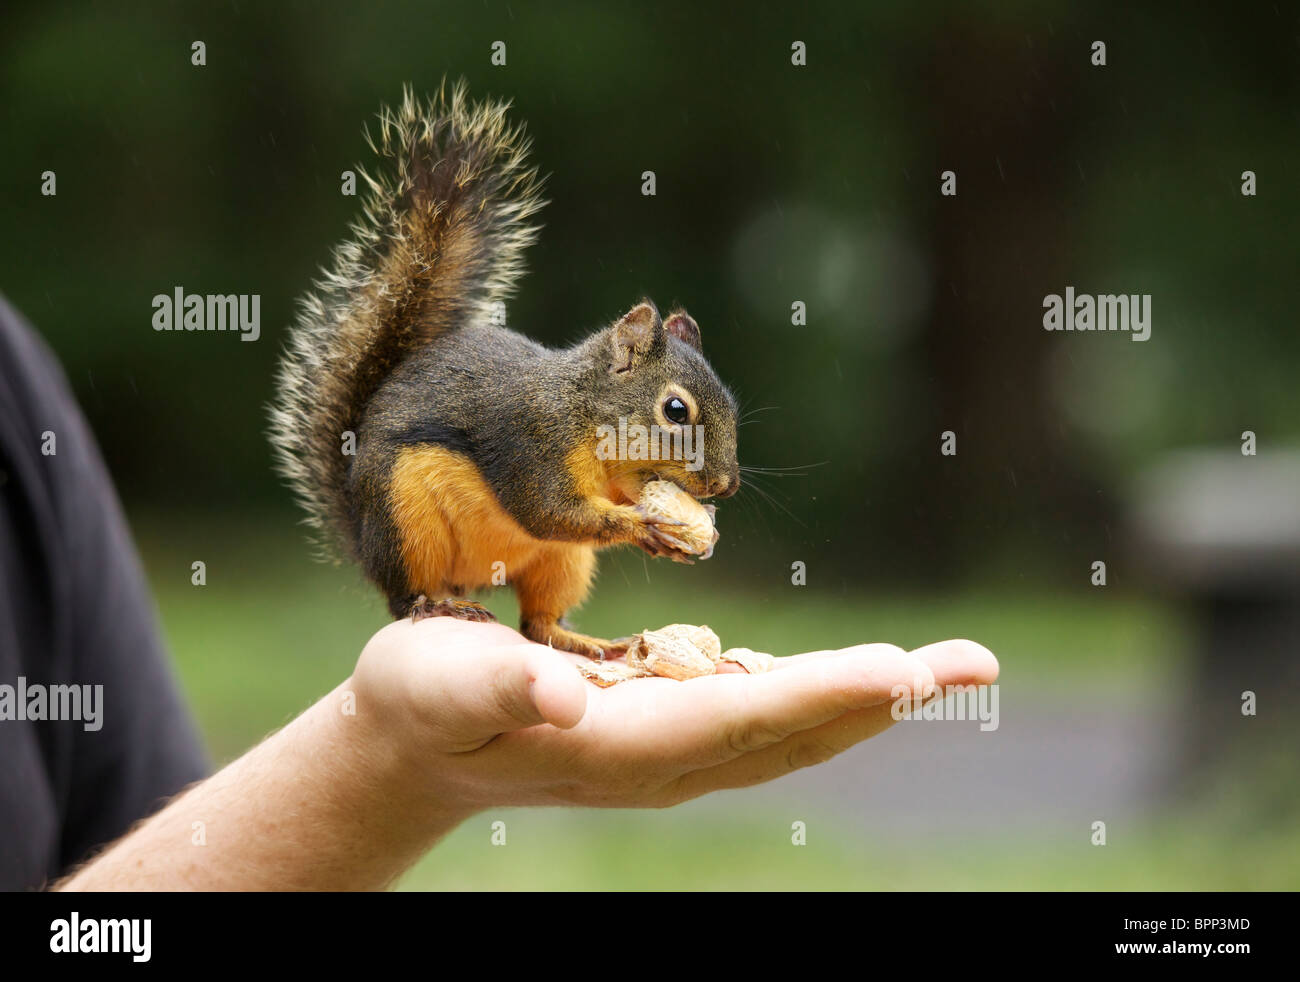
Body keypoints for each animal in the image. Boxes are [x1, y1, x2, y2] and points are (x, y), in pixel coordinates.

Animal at [268, 83, 740, 658]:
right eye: (675, 410)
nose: (726, 486)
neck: (584, 410)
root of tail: (362, 534)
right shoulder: (532, 443)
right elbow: (549, 511)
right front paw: (642, 523)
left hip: (561, 560)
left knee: (538, 623)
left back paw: (589, 643)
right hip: (405, 519)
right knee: (406, 599)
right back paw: (439, 606)